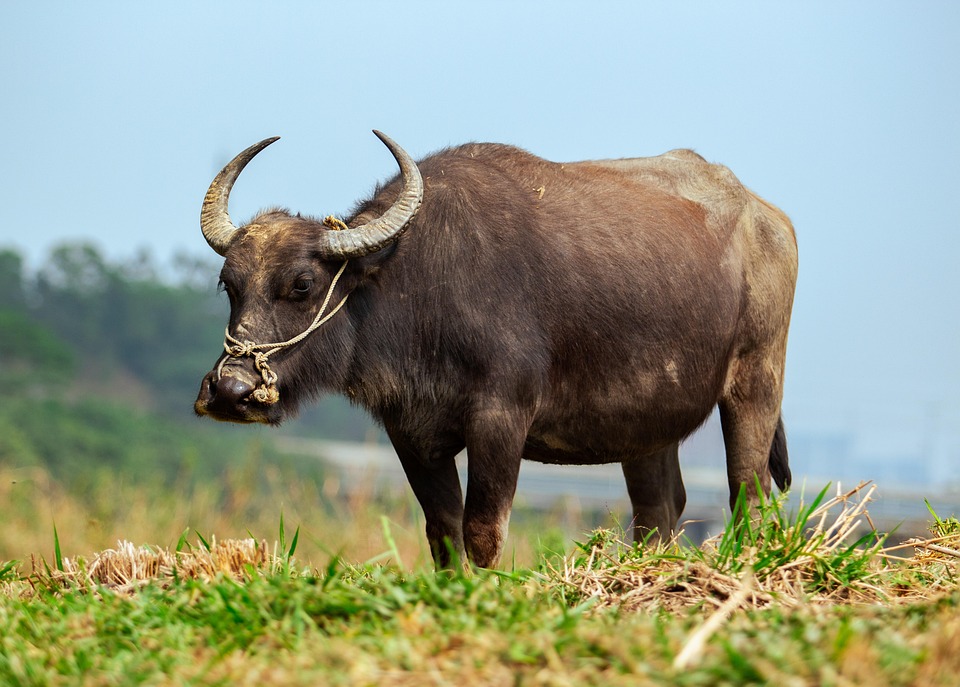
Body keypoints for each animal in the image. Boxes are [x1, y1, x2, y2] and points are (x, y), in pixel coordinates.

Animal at [195, 131, 797, 567]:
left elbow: (482, 532)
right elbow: (443, 532)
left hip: (756, 381)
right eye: (229, 285)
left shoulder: (501, 420)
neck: (417, 287)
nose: (230, 391)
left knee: (750, 496)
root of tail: (769, 217)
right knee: (659, 507)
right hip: (647, 425)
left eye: (302, 284)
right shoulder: (412, 433)